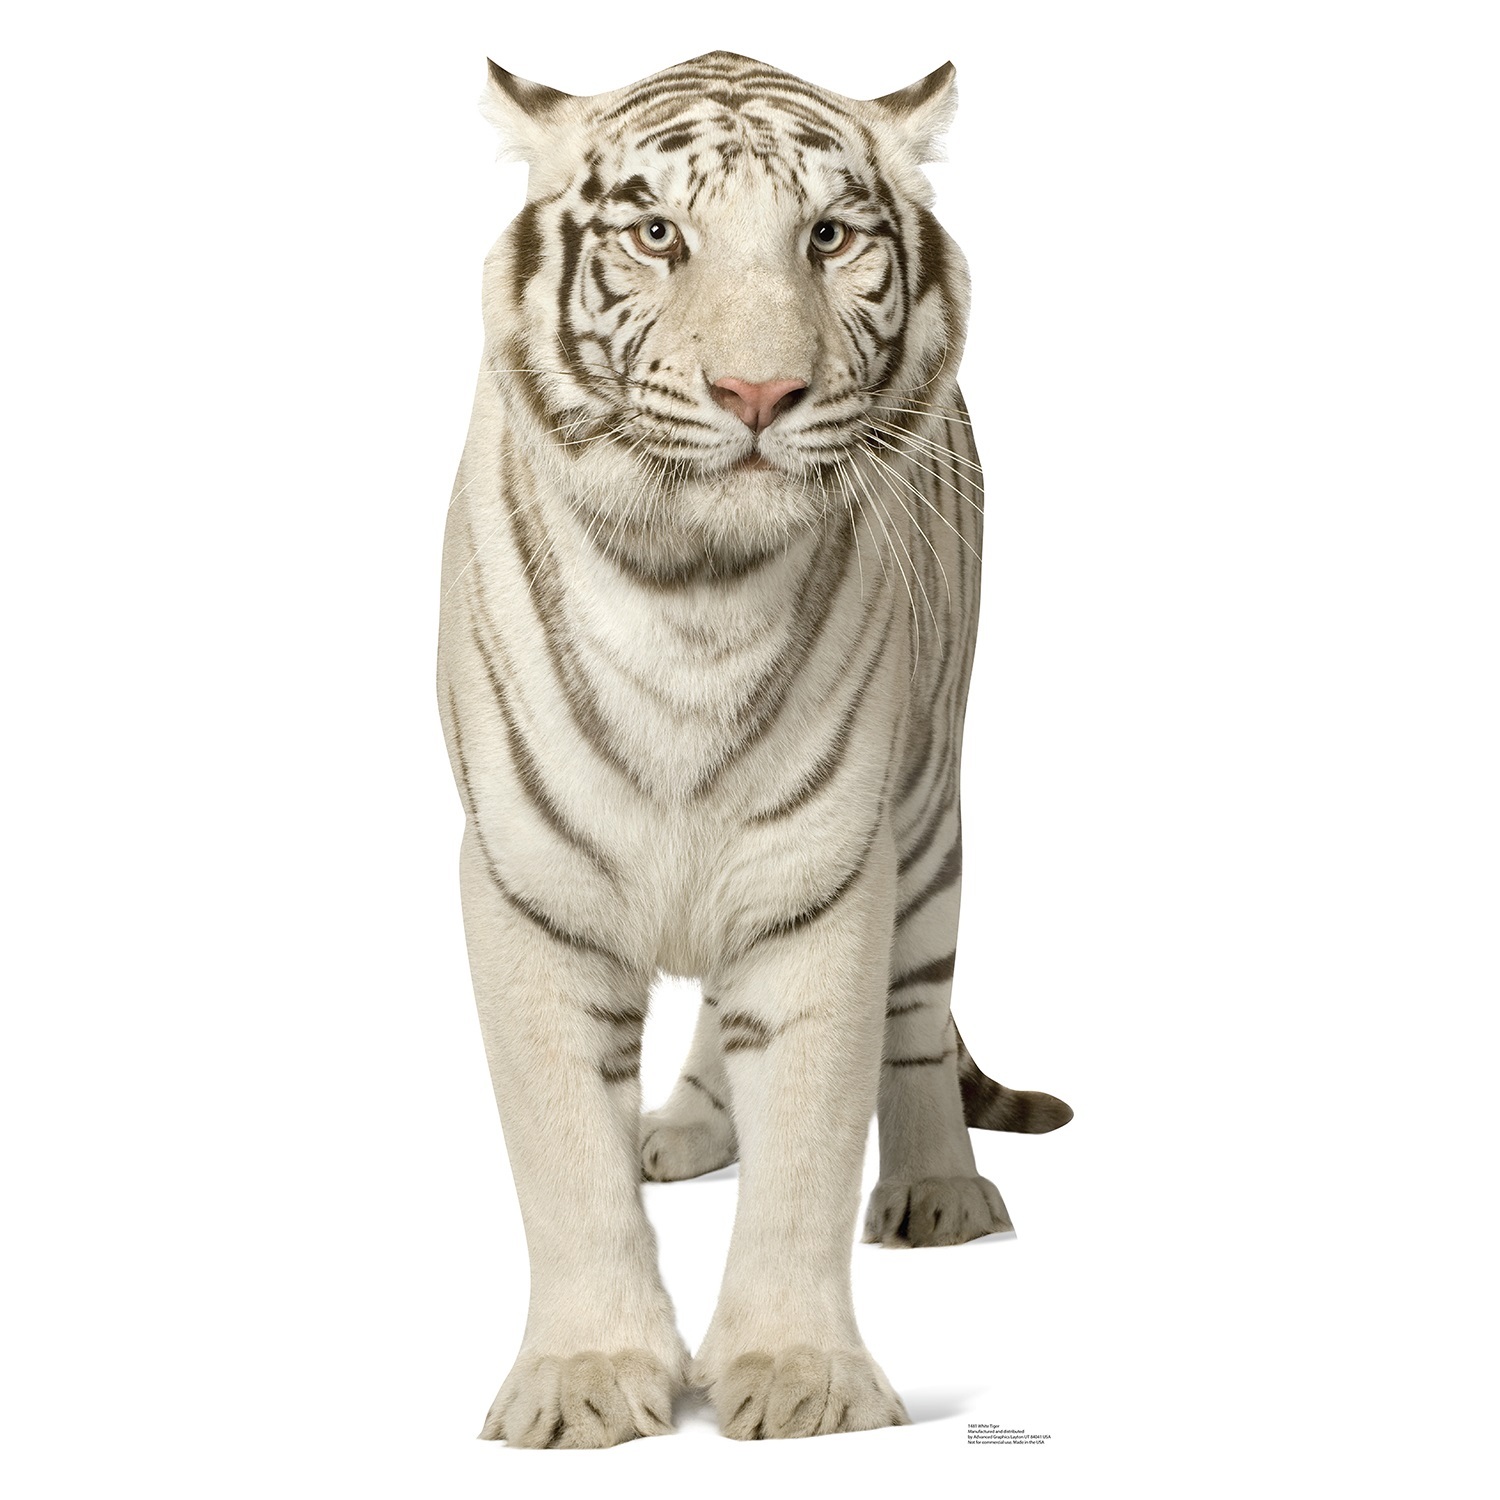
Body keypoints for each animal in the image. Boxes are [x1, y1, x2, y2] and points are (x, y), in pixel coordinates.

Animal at [437, 50, 1072, 1448]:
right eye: (658, 236)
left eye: (828, 236)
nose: (759, 395)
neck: (690, 584)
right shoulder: (526, 886)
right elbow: (563, 1153)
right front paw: (583, 1380)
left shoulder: (825, 875)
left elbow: (812, 1146)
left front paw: (797, 1377)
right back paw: (678, 1129)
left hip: (928, 814)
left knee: (916, 1021)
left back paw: (942, 1193)